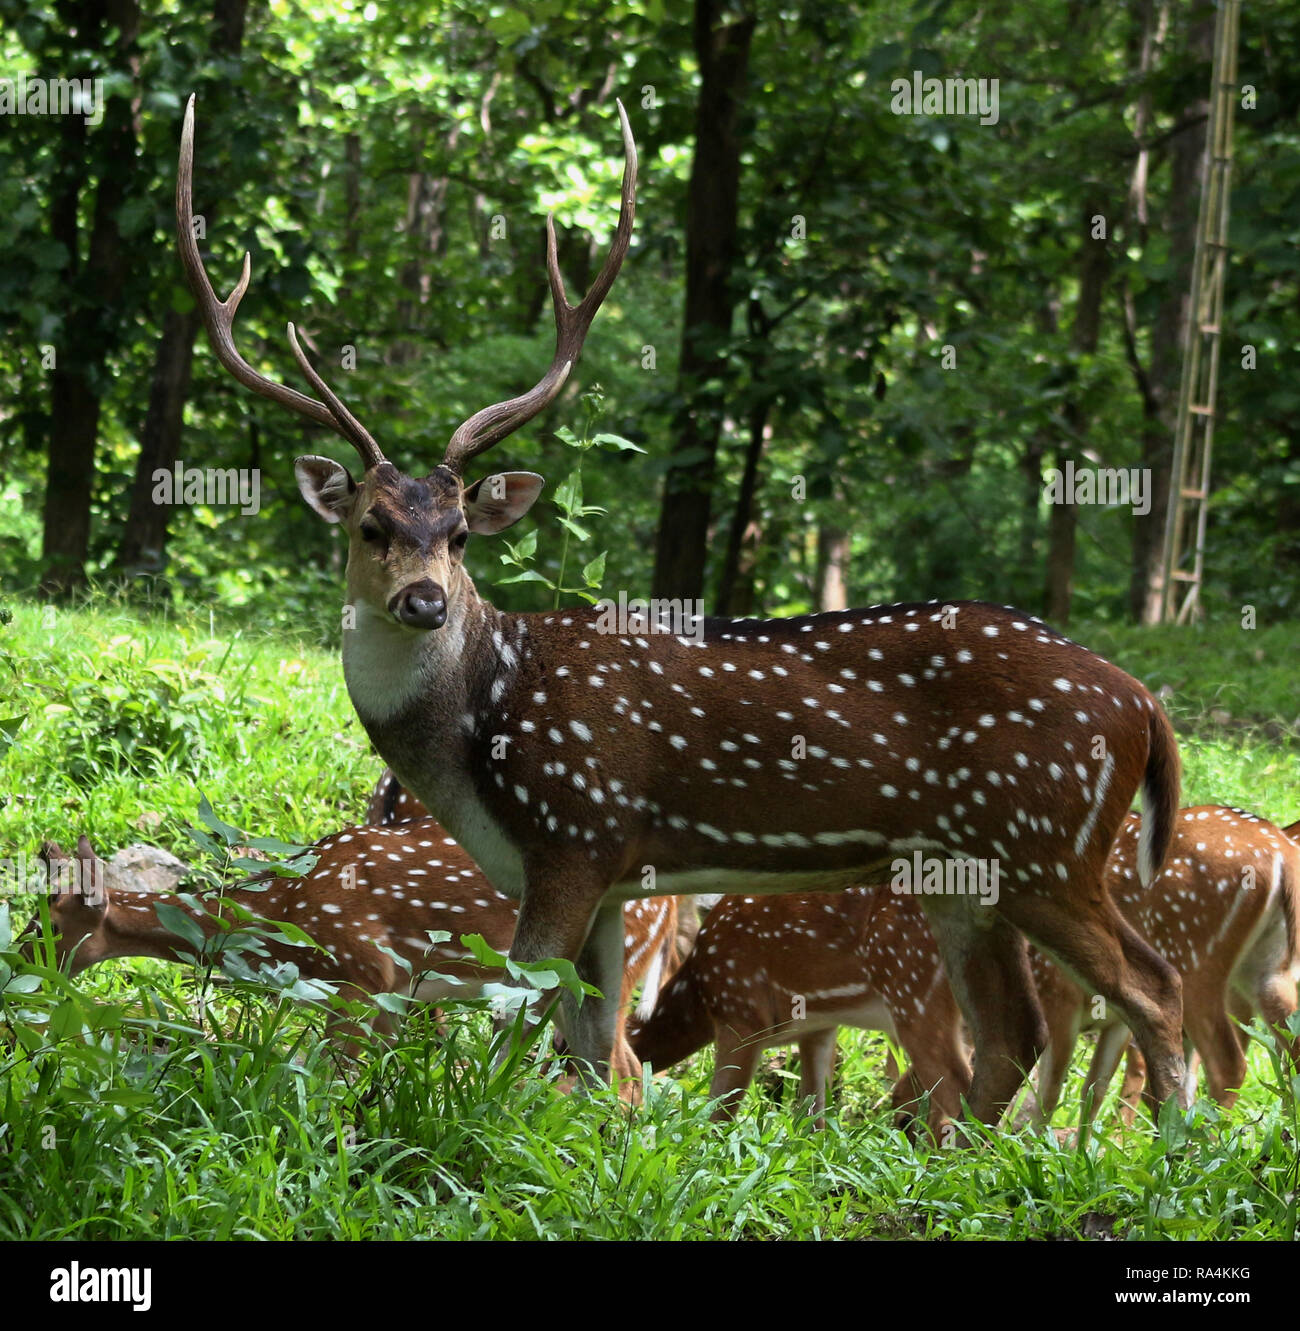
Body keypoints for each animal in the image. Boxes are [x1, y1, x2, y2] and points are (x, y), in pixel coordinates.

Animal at [26, 825, 676, 1092]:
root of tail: (673, 906)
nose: (21, 964)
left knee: (626, 1073)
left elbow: (334, 1078)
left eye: (51, 925)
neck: (289, 910)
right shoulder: (395, 991)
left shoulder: (362, 972)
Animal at [630, 885, 970, 1133]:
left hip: (914, 991)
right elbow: (814, 1115)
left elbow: (721, 1111)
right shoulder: (818, 1028)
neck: (698, 993)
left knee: (958, 1092)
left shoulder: (740, 1013)